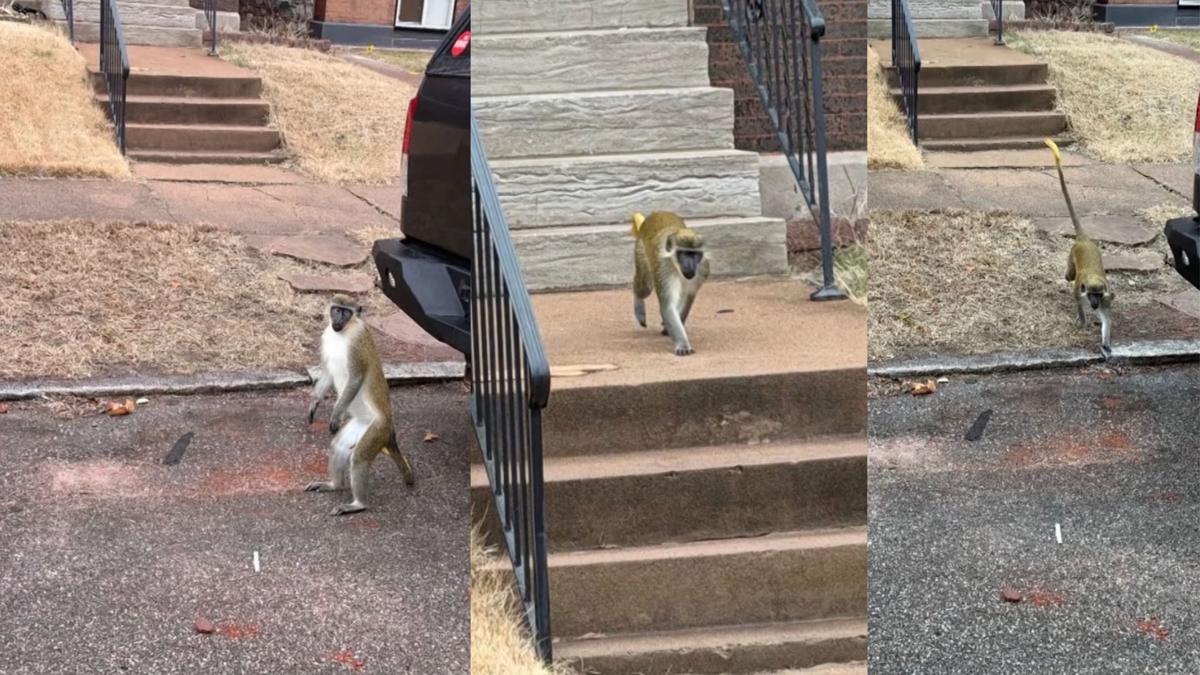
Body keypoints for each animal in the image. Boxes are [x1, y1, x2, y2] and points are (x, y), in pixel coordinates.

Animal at [306, 294, 415, 516]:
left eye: (346, 312)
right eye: (336, 309)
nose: (338, 320)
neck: (342, 333)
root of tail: (390, 428)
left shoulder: (357, 342)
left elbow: (355, 379)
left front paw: (336, 414)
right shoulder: (326, 336)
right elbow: (328, 372)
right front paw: (314, 401)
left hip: (378, 430)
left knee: (359, 458)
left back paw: (359, 504)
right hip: (361, 425)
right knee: (338, 446)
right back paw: (334, 485)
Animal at [631, 211, 710, 356]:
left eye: (694, 254)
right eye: (683, 253)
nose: (690, 266)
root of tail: (658, 213)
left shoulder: (702, 268)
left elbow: (689, 297)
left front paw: (671, 329)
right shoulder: (663, 269)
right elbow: (668, 307)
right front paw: (682, 344)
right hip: (640, 250)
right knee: (645, 286)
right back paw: (638, 302)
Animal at [1046, 138, 1113, 358]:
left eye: (1097, 295)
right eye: (1091, 295)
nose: (1093, 303)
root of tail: (1084, 239)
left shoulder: (1106, 295)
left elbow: (1106, 317)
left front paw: (1105, 343)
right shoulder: (1080, 288)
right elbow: (1077, 300)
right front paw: (1082, 320)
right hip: (1071, 258)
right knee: (1068, 275)